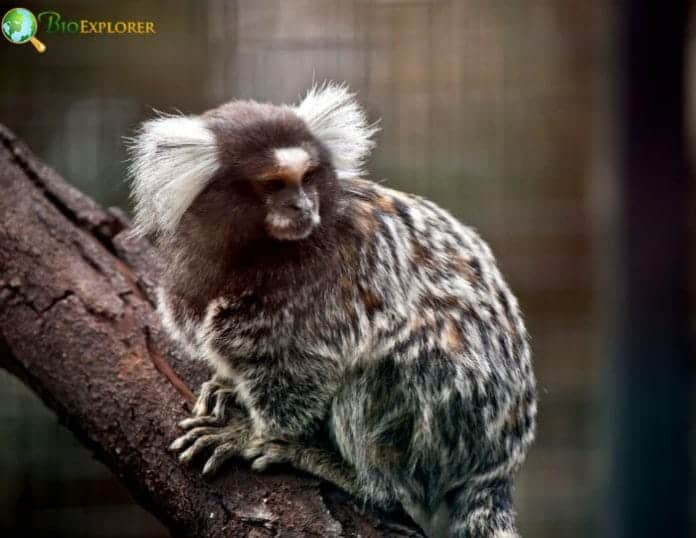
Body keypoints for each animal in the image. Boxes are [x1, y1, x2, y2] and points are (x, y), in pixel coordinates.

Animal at [128, 83, 536, 538]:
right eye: (273, 184)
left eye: (306, 177)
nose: (302, 207)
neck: (247, 255)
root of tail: (498, 463)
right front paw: (227, 385)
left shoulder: (315, 295)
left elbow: (301, 374)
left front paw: (248, 433)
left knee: (386, 376)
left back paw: (343, 470)